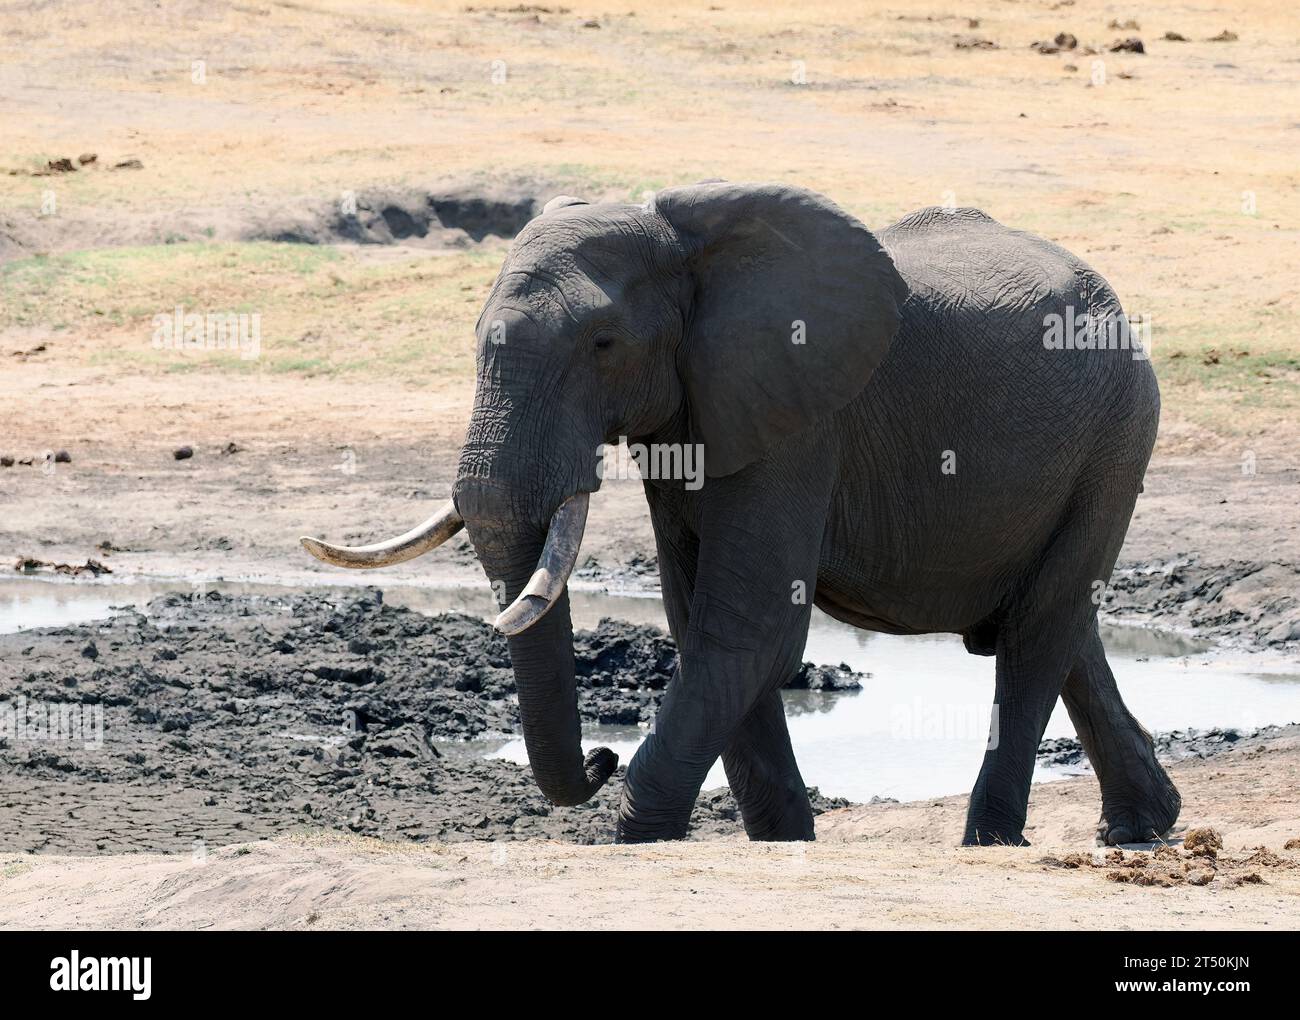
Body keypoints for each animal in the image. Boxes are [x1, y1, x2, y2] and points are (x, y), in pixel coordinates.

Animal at [301, 182, 1182, 847]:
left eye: (603, 345)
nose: (601, 758)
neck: (686, 247)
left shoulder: (801, 421)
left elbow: (751, 622)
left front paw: (640, 837)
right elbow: (701, 616)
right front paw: (785, 841)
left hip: (1116, 434)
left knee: (1036, 633)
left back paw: (992, 841)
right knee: (1061, 624)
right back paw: (1141, 826)